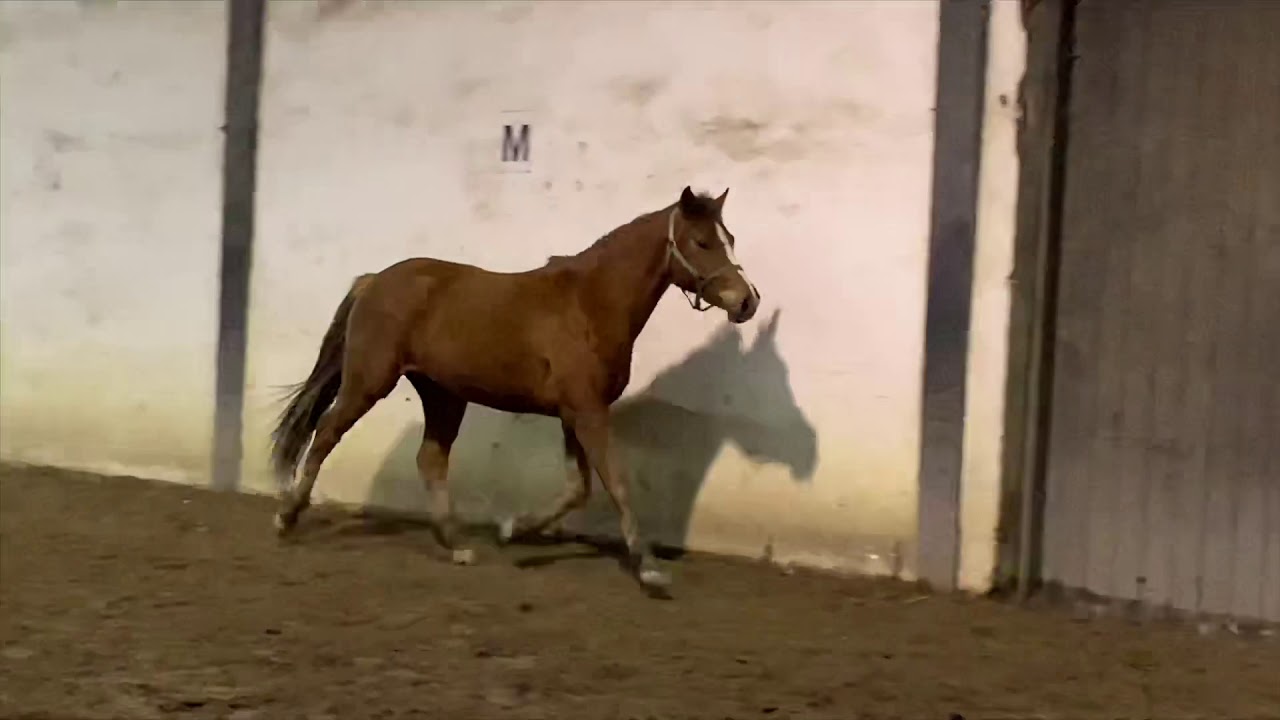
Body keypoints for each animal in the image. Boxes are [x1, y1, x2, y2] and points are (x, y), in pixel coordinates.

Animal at [269, 186, 762, 591]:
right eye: (702, 242)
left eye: (731, 239)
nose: (747, 301)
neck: (590, 303)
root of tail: (373, 280)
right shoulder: (586, 411)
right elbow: (615, 482)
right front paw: (650, 569)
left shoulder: (574, 413)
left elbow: (577, 488)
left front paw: (512, 530)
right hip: (370, 381)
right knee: (326, 434)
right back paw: (286, 518)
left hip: (443, 395)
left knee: (430, 459)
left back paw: (458, 545)